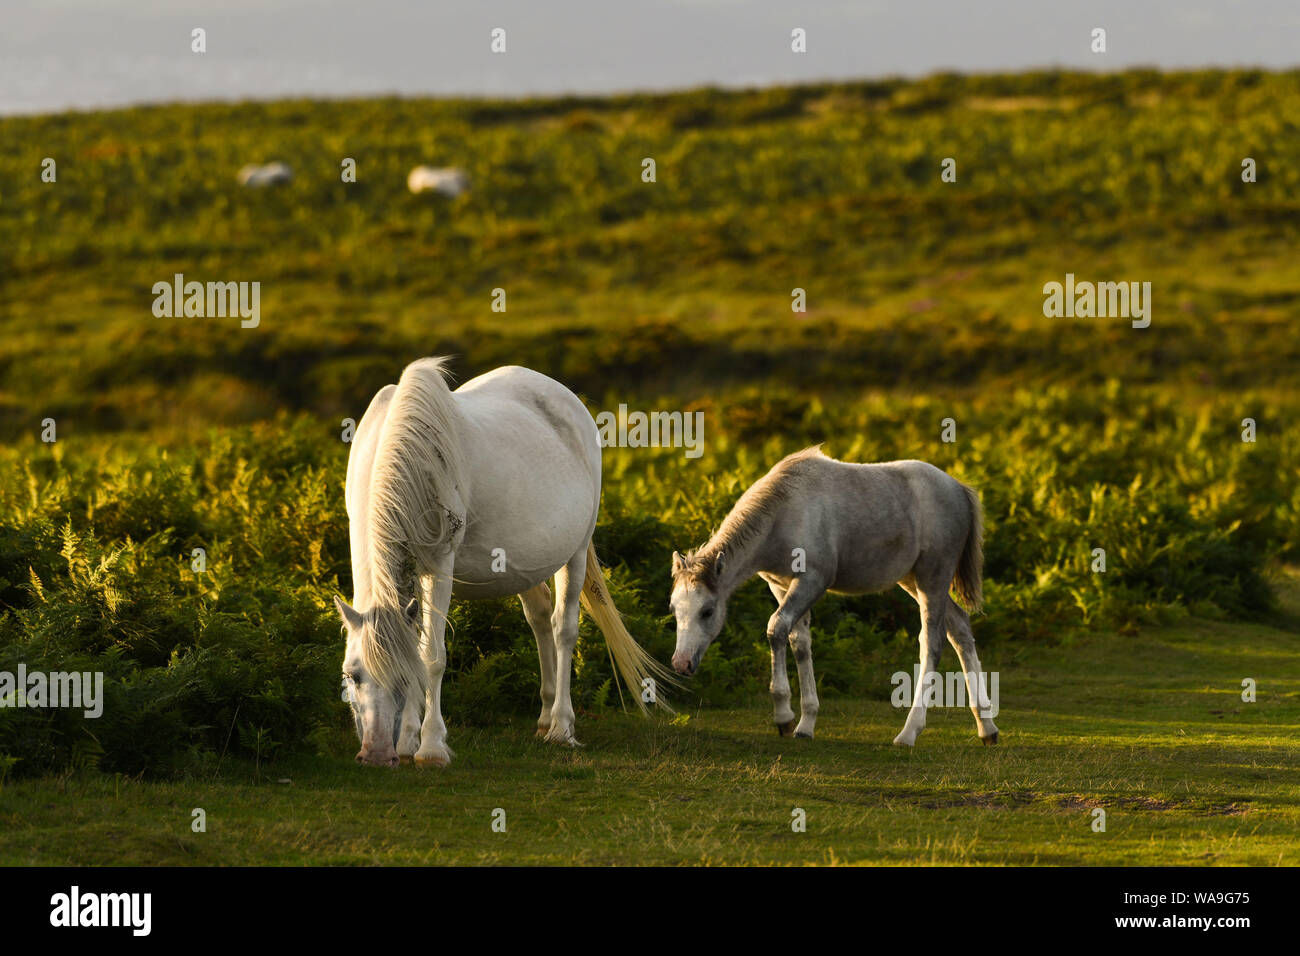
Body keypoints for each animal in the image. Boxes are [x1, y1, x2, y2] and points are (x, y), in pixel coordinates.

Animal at [334, 358, 671, 767]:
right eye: (352, 675)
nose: (377, 754)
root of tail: (567, 400)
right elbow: (416, 642)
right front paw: (408, 741)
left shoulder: (439, 564)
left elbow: (431, 656)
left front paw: (430, 748)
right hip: (523, 564)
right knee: (540, 618)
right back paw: (544, 719)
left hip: (574, 553)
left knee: (563, 627)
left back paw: (561, 727)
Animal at [668, 446, 998, 747]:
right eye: (674, 610)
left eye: (708, 611)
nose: (681, 664)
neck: (784, 512)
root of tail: (958, 488)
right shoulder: (781, 585)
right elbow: (799, 643)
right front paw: (805, 724)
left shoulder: (813, 580)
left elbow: (776, 628)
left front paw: (784, 717)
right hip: (912, 580)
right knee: (960, 628)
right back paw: (987, 727)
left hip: (933, 578)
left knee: (932, 641)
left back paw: (909, 732)